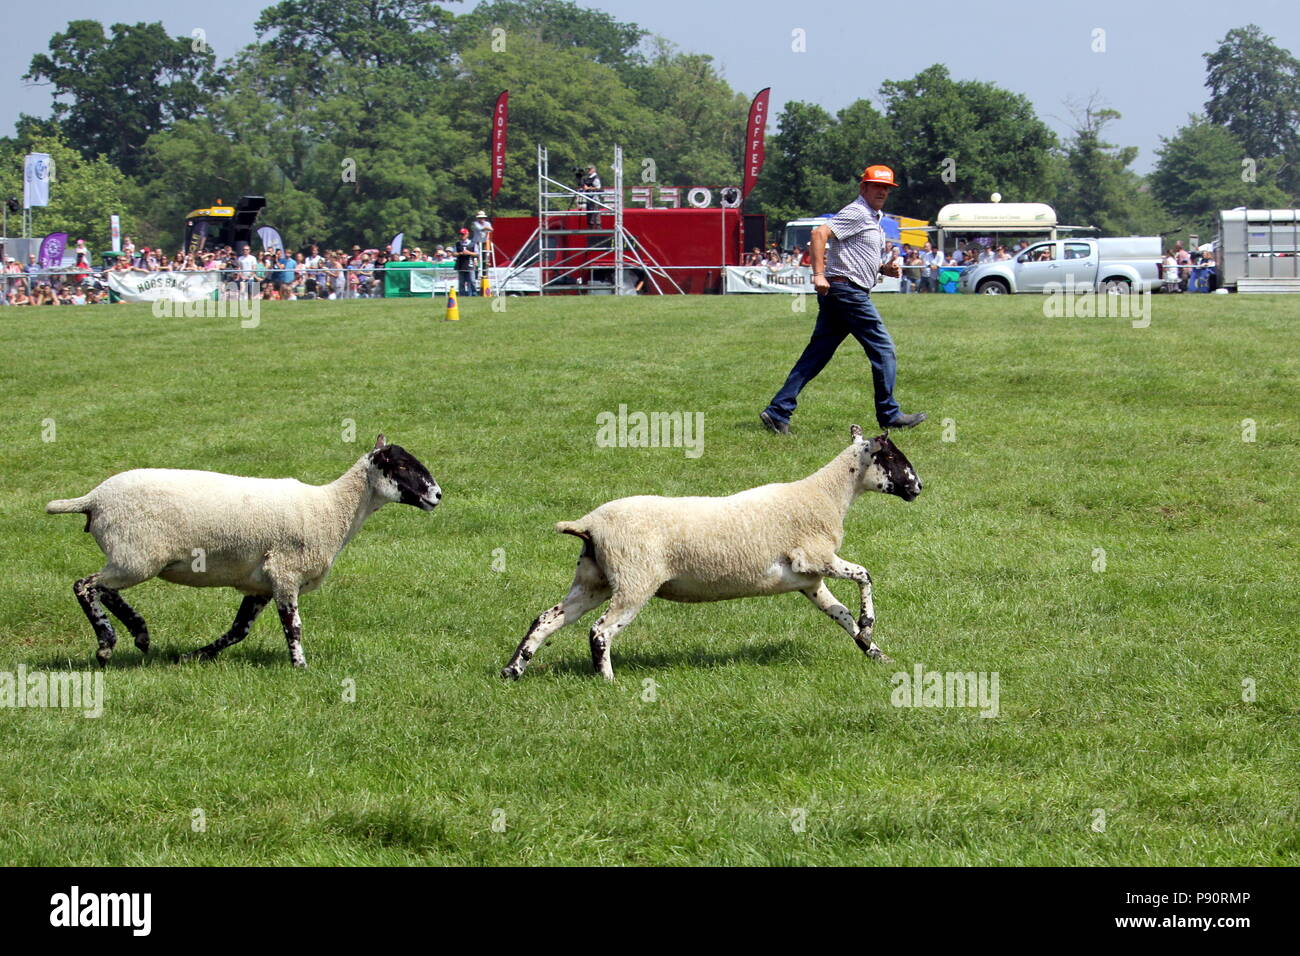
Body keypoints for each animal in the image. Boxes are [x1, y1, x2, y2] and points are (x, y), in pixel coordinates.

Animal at [46, 435, 440, 668]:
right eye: (401, 466)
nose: (438, 495)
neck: (331, 509)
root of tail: (94, 498)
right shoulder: (285, 573)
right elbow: (293, 626)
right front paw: (300, 666)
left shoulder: (259, 585)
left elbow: (238, 630)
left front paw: (194, 655)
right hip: (136, 557)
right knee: (85, 586)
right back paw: (106, 643)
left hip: (130, 559)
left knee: (103, 588)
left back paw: (138, 633)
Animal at [501, 424, 922, 681]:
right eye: (893, 458)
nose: (917, 488)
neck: (826, 496)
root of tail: (588, 523)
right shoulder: (816, 559)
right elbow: (865, 574)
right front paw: (869, 625)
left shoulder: (809, 580)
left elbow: (841, 614)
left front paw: (874, 651)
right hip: (634, 581)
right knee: (600, 630)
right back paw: (607, 679)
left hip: (594, 579)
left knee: (546, 618)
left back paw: (513, 670)